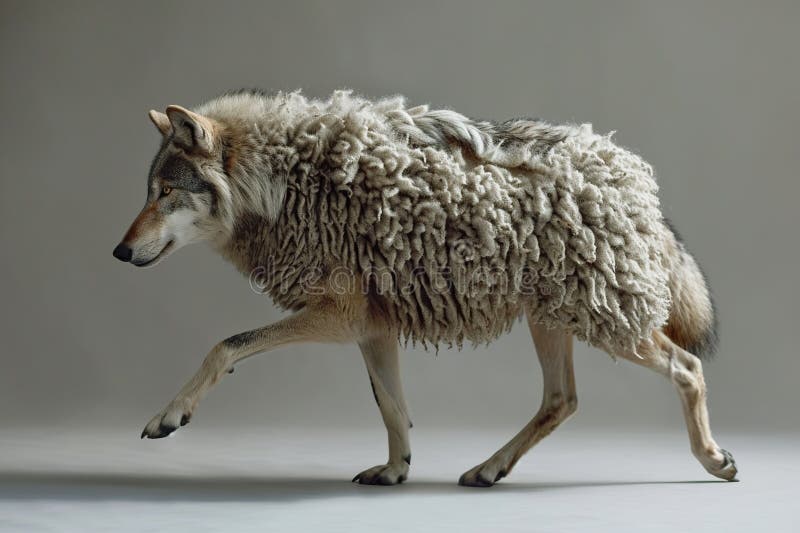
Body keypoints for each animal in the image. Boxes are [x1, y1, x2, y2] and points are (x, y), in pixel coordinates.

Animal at [113, 89, 736, 486]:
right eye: (148, 192)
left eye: (166, 192)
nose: (118, 252)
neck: (282, 182)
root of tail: (632, 174)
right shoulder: (372, 328)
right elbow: (392, 407)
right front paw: (395, 471)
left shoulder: (337, 319)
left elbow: (224, 346)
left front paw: (170, 416)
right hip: (552, 320)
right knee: (562, 400)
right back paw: (489, 470)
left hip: (607, 321)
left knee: (687, 368)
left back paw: (712, 460)